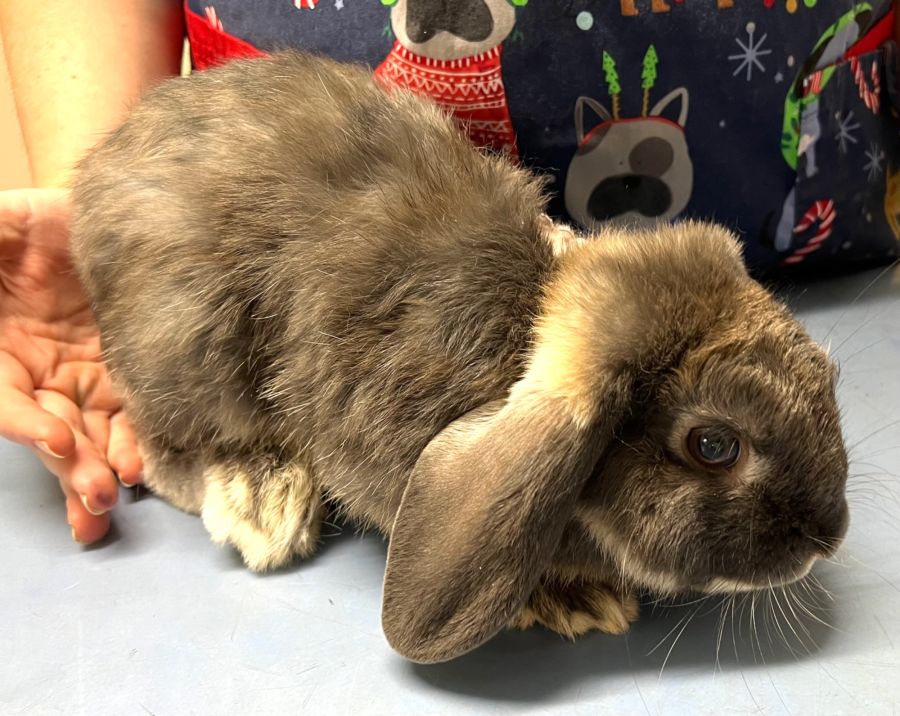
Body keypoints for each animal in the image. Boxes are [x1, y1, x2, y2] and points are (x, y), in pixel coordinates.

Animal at [70, 51, 850, 664]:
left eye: (827, 374)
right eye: (714, 445)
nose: (830, 535)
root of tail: (95, 181)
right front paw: (578, 597)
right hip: (186, 341)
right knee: (169, 449)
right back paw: (263, 501)